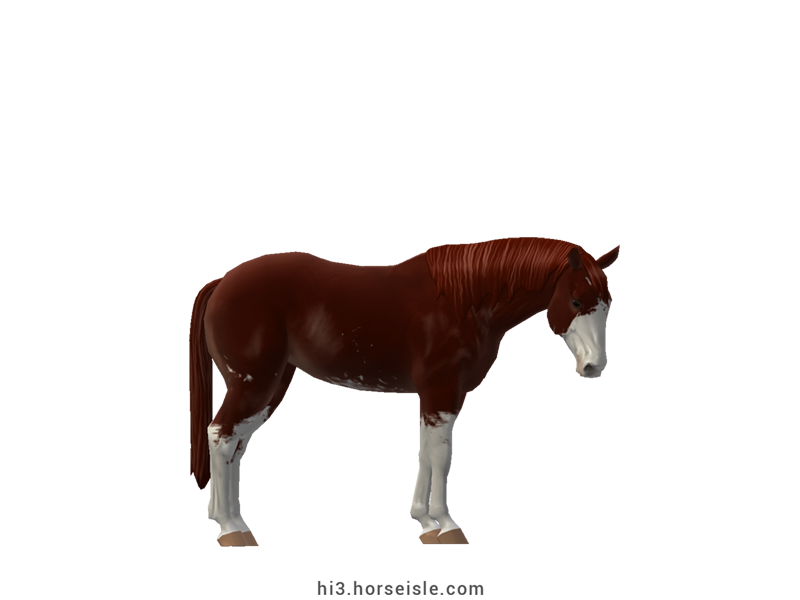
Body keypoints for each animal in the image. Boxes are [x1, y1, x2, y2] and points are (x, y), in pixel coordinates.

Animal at [189, 238, 609, 537]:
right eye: (576, 300)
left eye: (605, 302)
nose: (593, 365)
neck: (462, 301)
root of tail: (224, 282)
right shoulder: (442, 390)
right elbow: (440, 454)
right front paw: (444, 521)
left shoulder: (432, 396)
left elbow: (425, 452)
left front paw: (421, 520)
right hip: (250, 383)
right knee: (220, 436)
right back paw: (227, 526)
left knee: (229, 443)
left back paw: (231, 519)